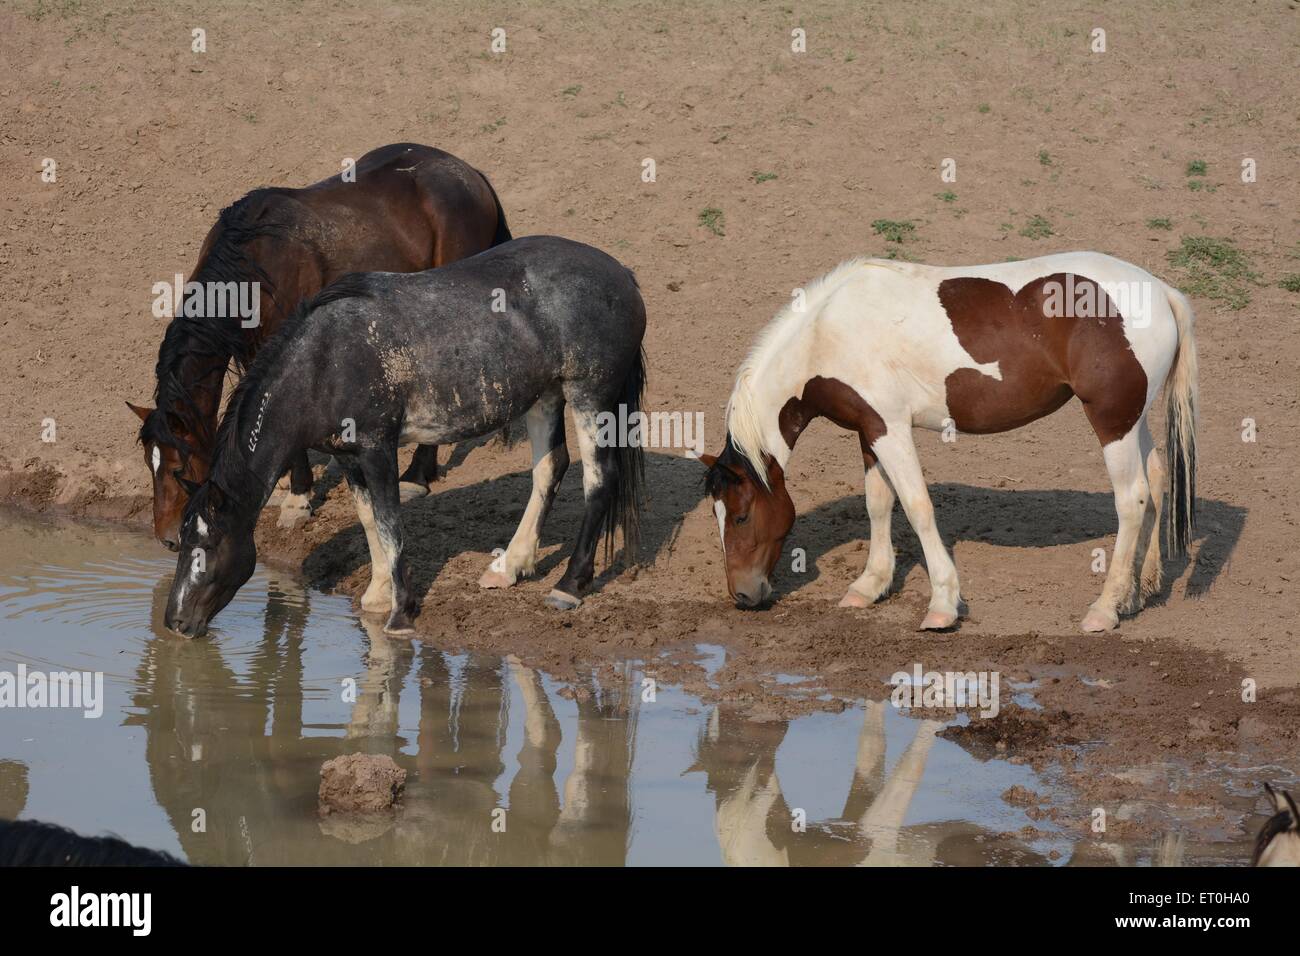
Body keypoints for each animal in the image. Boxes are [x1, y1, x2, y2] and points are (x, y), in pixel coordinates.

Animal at [128, 143, 511, 550]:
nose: (168, 538)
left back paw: (417, 475)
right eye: (149, 462)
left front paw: (298, 498)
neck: (256, 260)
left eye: (177, 467)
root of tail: (469, 173)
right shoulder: (250, 353)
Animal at [163, 236, 647, 638]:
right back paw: (509, 566)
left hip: (589, 395)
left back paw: (569, 585)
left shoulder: (378, 448)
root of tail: (622, 274)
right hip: (545, 397)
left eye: (208, 545)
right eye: (181, 543)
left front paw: (399, 613)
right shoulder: (349, 456)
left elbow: (391, 524)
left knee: (598, 480)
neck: (323, 363)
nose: (175, 622)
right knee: (550, 468)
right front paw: (378, 596)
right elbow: (369, 520)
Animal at [701, 252, 1198, 633]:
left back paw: (1105, 609)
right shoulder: (870, 430)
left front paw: (942, 605)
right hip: (1133, 420)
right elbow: (879, 504)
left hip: (1112, 422)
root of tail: (1159, 291)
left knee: (1132, 500)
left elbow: (918, 508)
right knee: (1156, 481)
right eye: (718, 516)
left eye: (742, 516)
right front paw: (870, 586)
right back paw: (1135, 594)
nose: (743, 595)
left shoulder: (891, 428)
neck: (827, 333)